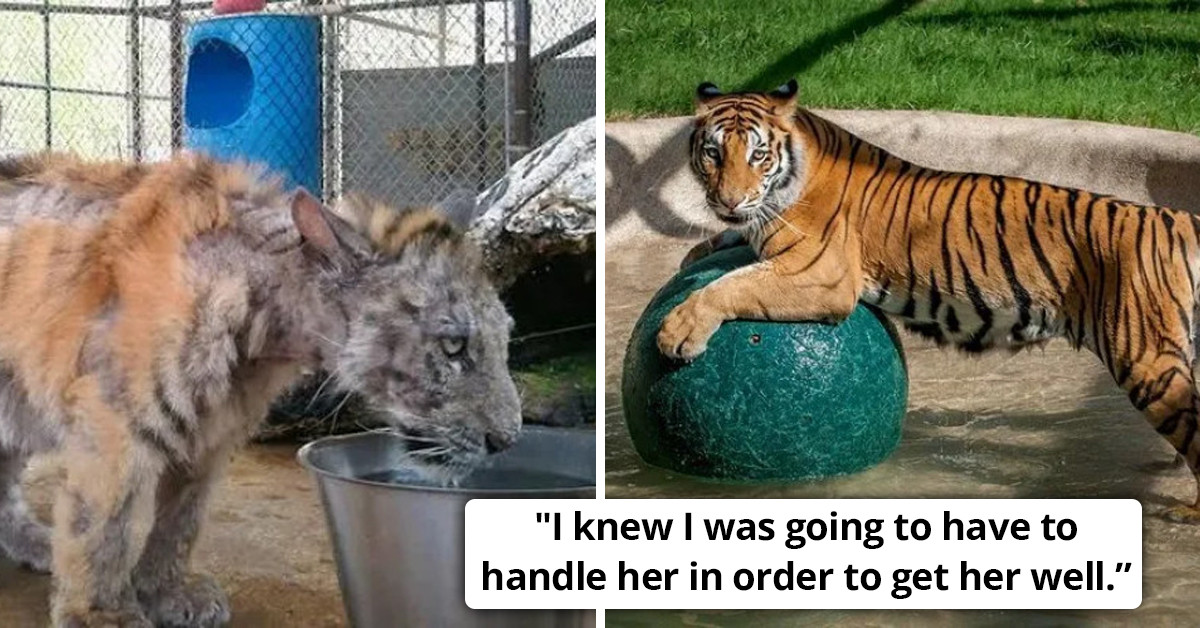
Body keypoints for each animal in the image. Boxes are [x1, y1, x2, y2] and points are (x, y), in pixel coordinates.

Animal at [0, 152, 520, 627]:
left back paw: (36, 541)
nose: (507, 440)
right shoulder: (117, 423)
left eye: (505, 336)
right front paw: (102, 615)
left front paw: (166, 593)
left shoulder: (210, 433)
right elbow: (104, 525)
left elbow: (181, 521)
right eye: (453, 345)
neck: (267, 330)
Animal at [658, 79, 1200, 522]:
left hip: (1147, 362)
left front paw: (677, 331)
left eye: (757, 156)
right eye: (712, 153)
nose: (728, 200)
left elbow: (733, 283)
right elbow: (720, 248)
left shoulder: (821, 275)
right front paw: (695, 255)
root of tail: (1174, 218)